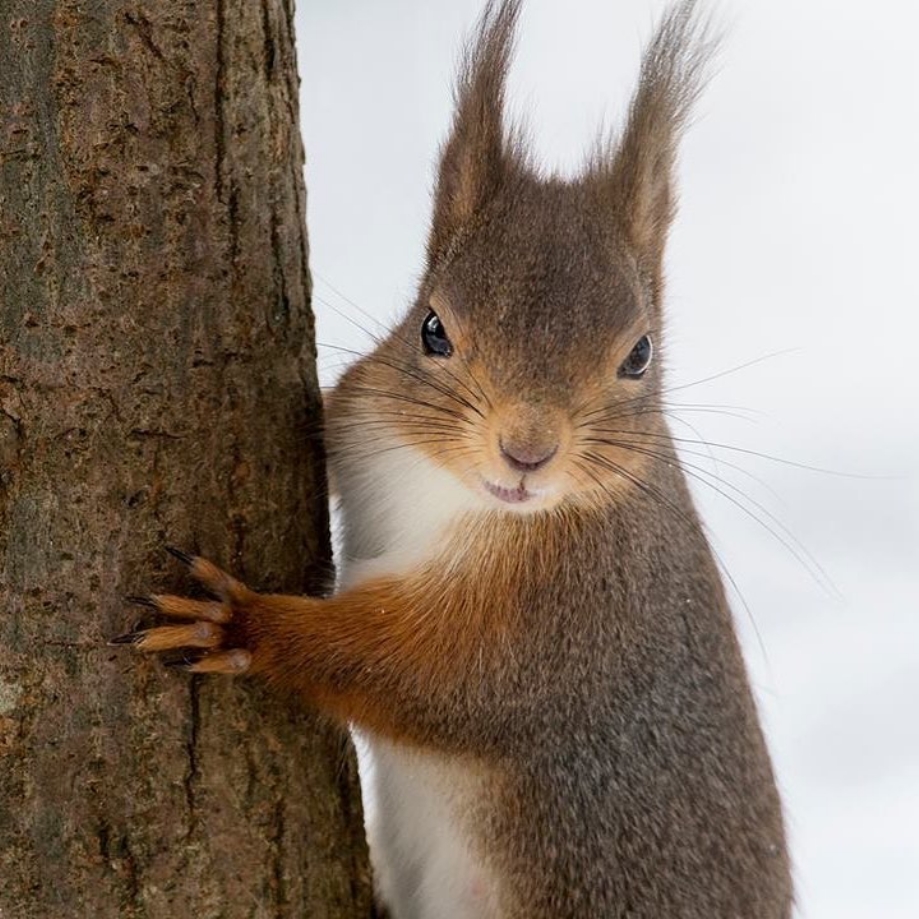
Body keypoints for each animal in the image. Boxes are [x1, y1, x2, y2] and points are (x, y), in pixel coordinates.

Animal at [117, 1, 793, 916]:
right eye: (431, 329)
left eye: (639, 354)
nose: (527, 449)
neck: (448, 492)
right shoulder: (361, 428)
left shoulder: (559, 623)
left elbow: (420, 677)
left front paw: (241, 621)